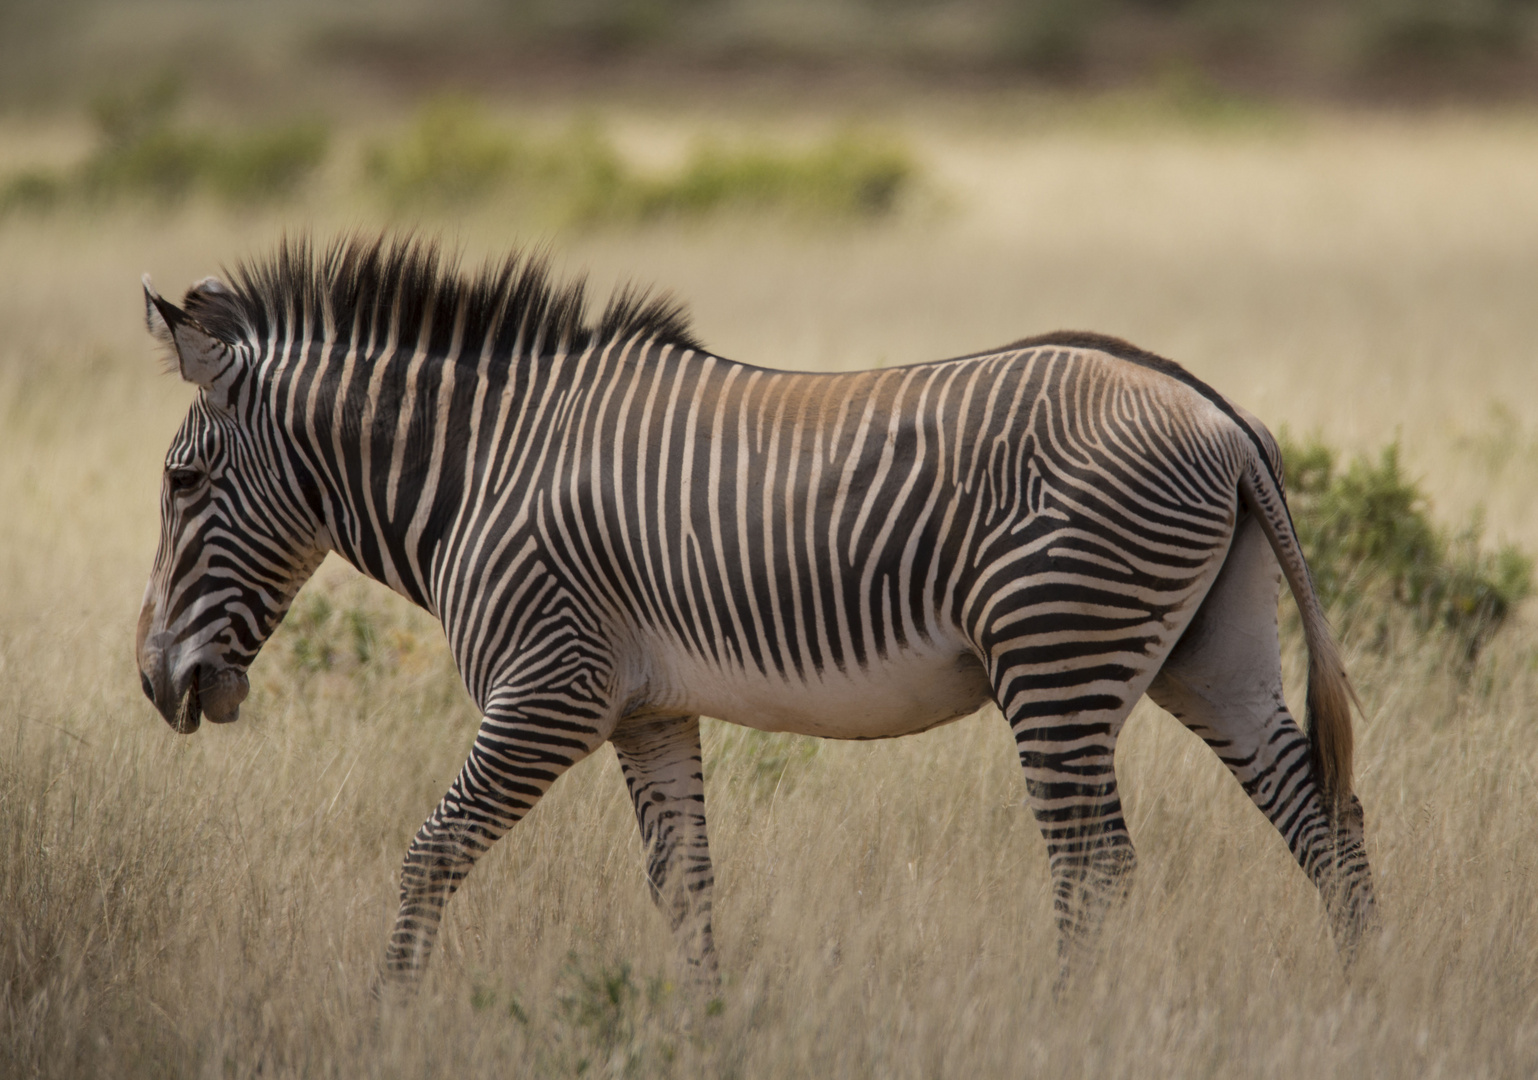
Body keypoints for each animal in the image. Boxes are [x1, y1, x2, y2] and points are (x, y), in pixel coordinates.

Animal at [135, 235, 1377, 993]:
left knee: (1093, 864)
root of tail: (1216, 420)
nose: (154, 683)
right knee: (1326, 823)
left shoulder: (549, 688)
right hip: (1209, 656)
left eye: (181, 483)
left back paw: (1063, 1024)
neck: (483, 473)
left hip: (1056, 652)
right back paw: (1360, 1002)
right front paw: (705, 1029)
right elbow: (682, 887)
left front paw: (388, 1013)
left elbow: (431, 851)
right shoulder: (645, 709)